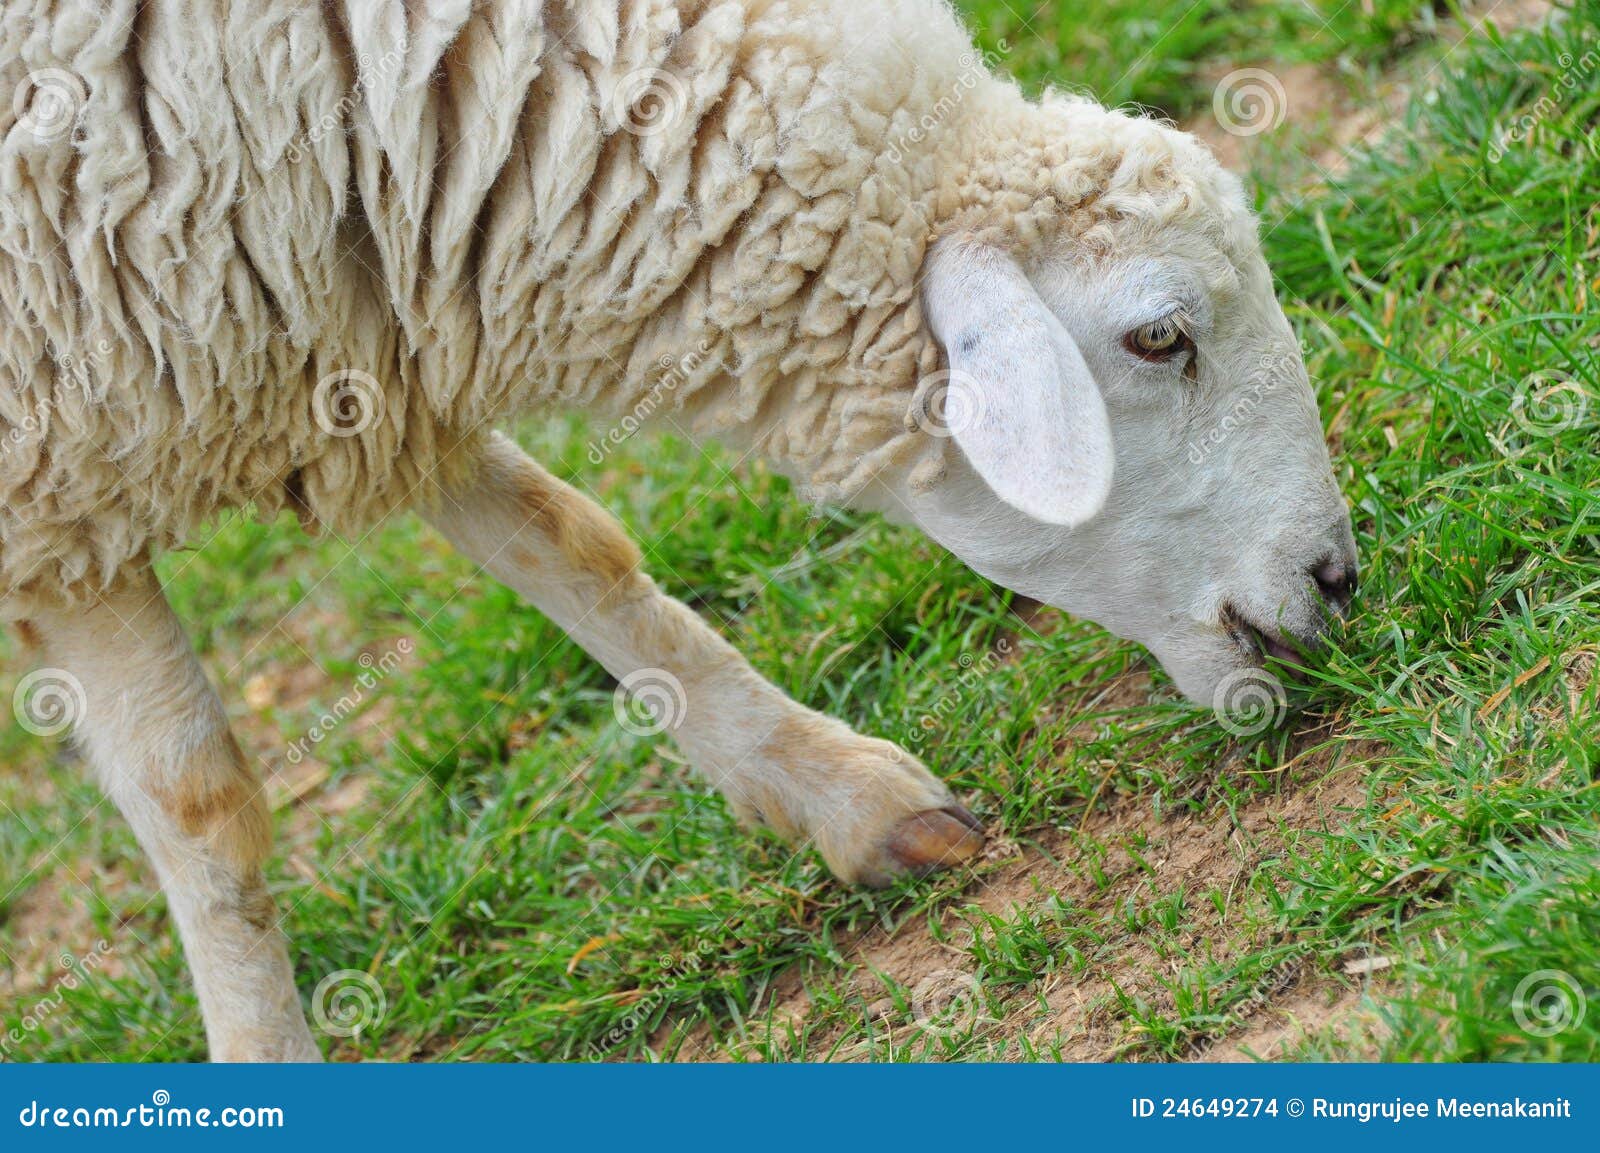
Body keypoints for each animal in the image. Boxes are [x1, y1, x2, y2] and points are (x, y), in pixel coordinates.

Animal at [0, 0, 1357, 1061]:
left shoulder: (365, 314)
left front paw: (844, 798)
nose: (1338, 580)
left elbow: (574, 543)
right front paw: (264, 1051)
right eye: (1159, 336)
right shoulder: (63, 461)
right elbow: (203, 802)